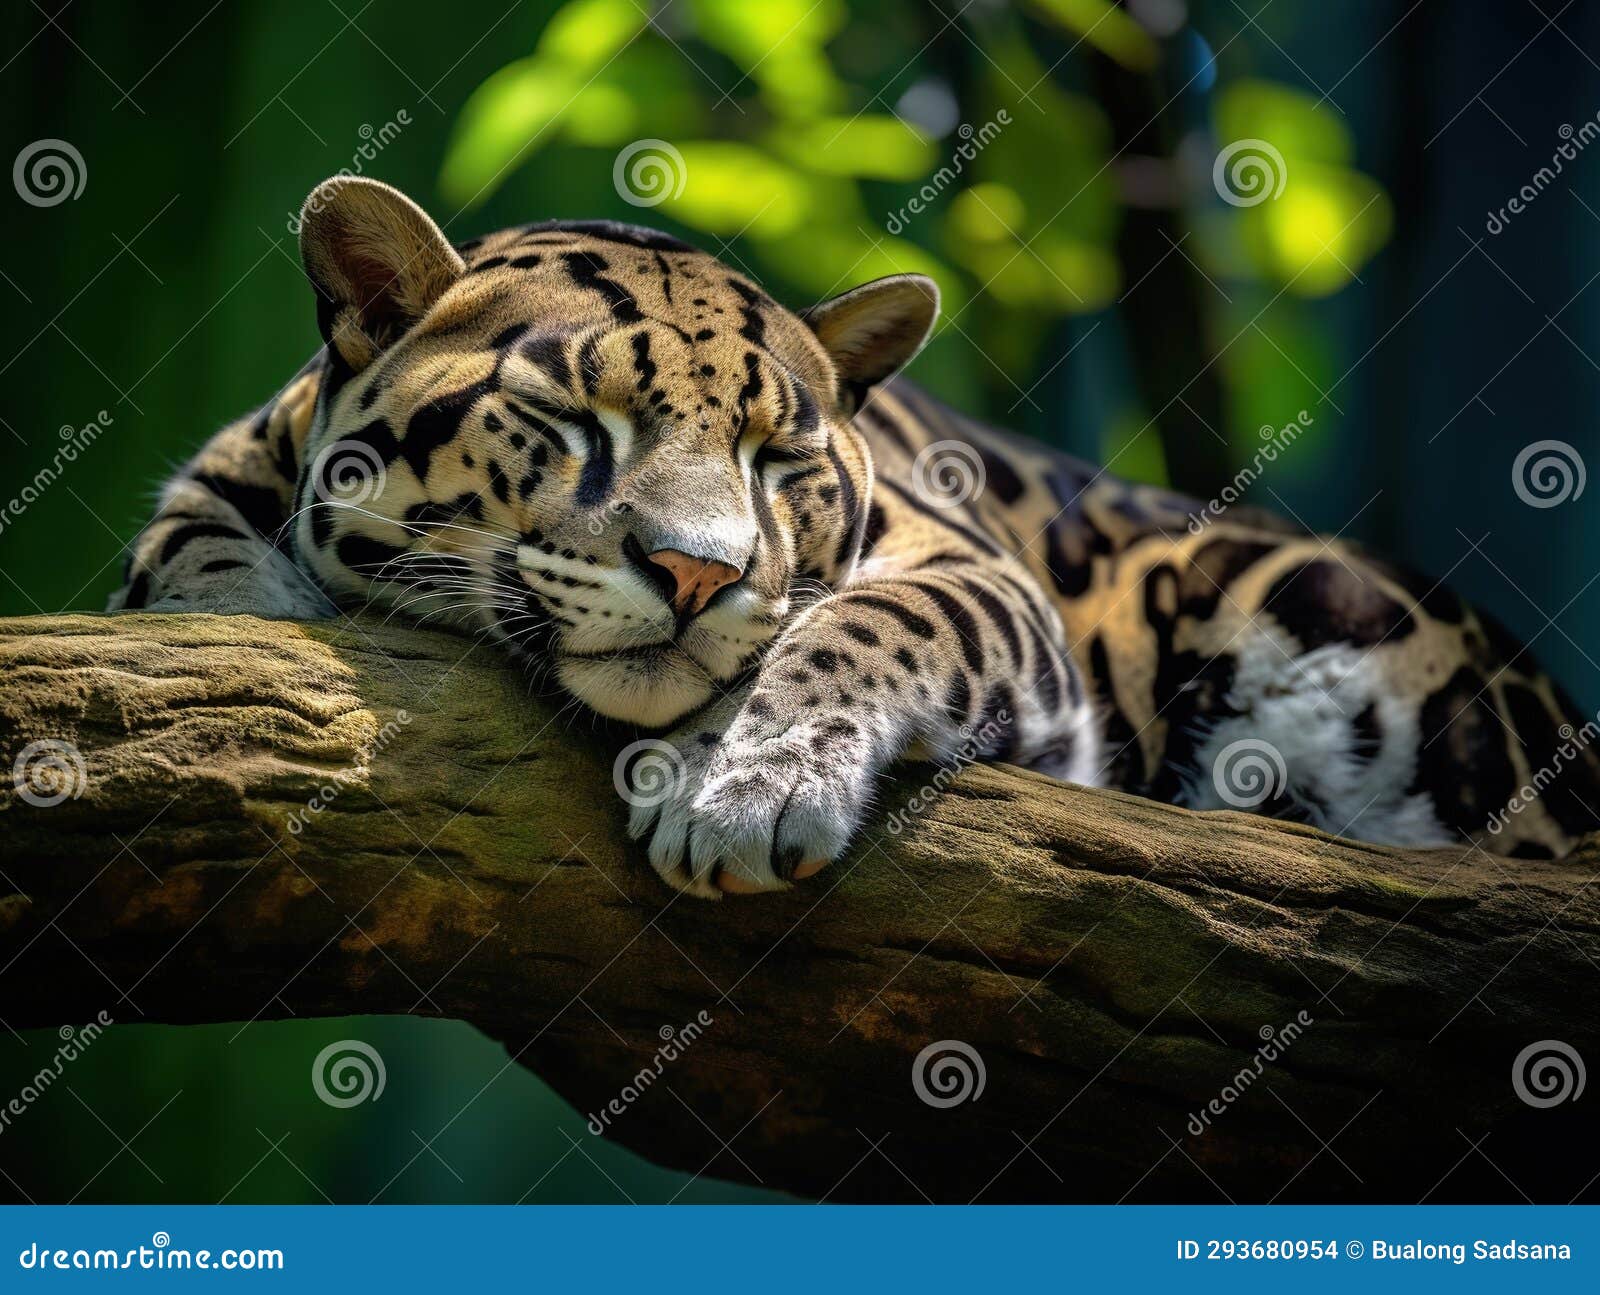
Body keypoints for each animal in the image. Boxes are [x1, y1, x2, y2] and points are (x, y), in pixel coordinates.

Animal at [109, 175, 1600, 897]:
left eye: (782, 461)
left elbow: (870, 619)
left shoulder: (983, 580)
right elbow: (185, 550)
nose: (698, 571)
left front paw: (744, 784)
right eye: (572, 419)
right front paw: (252, 600)